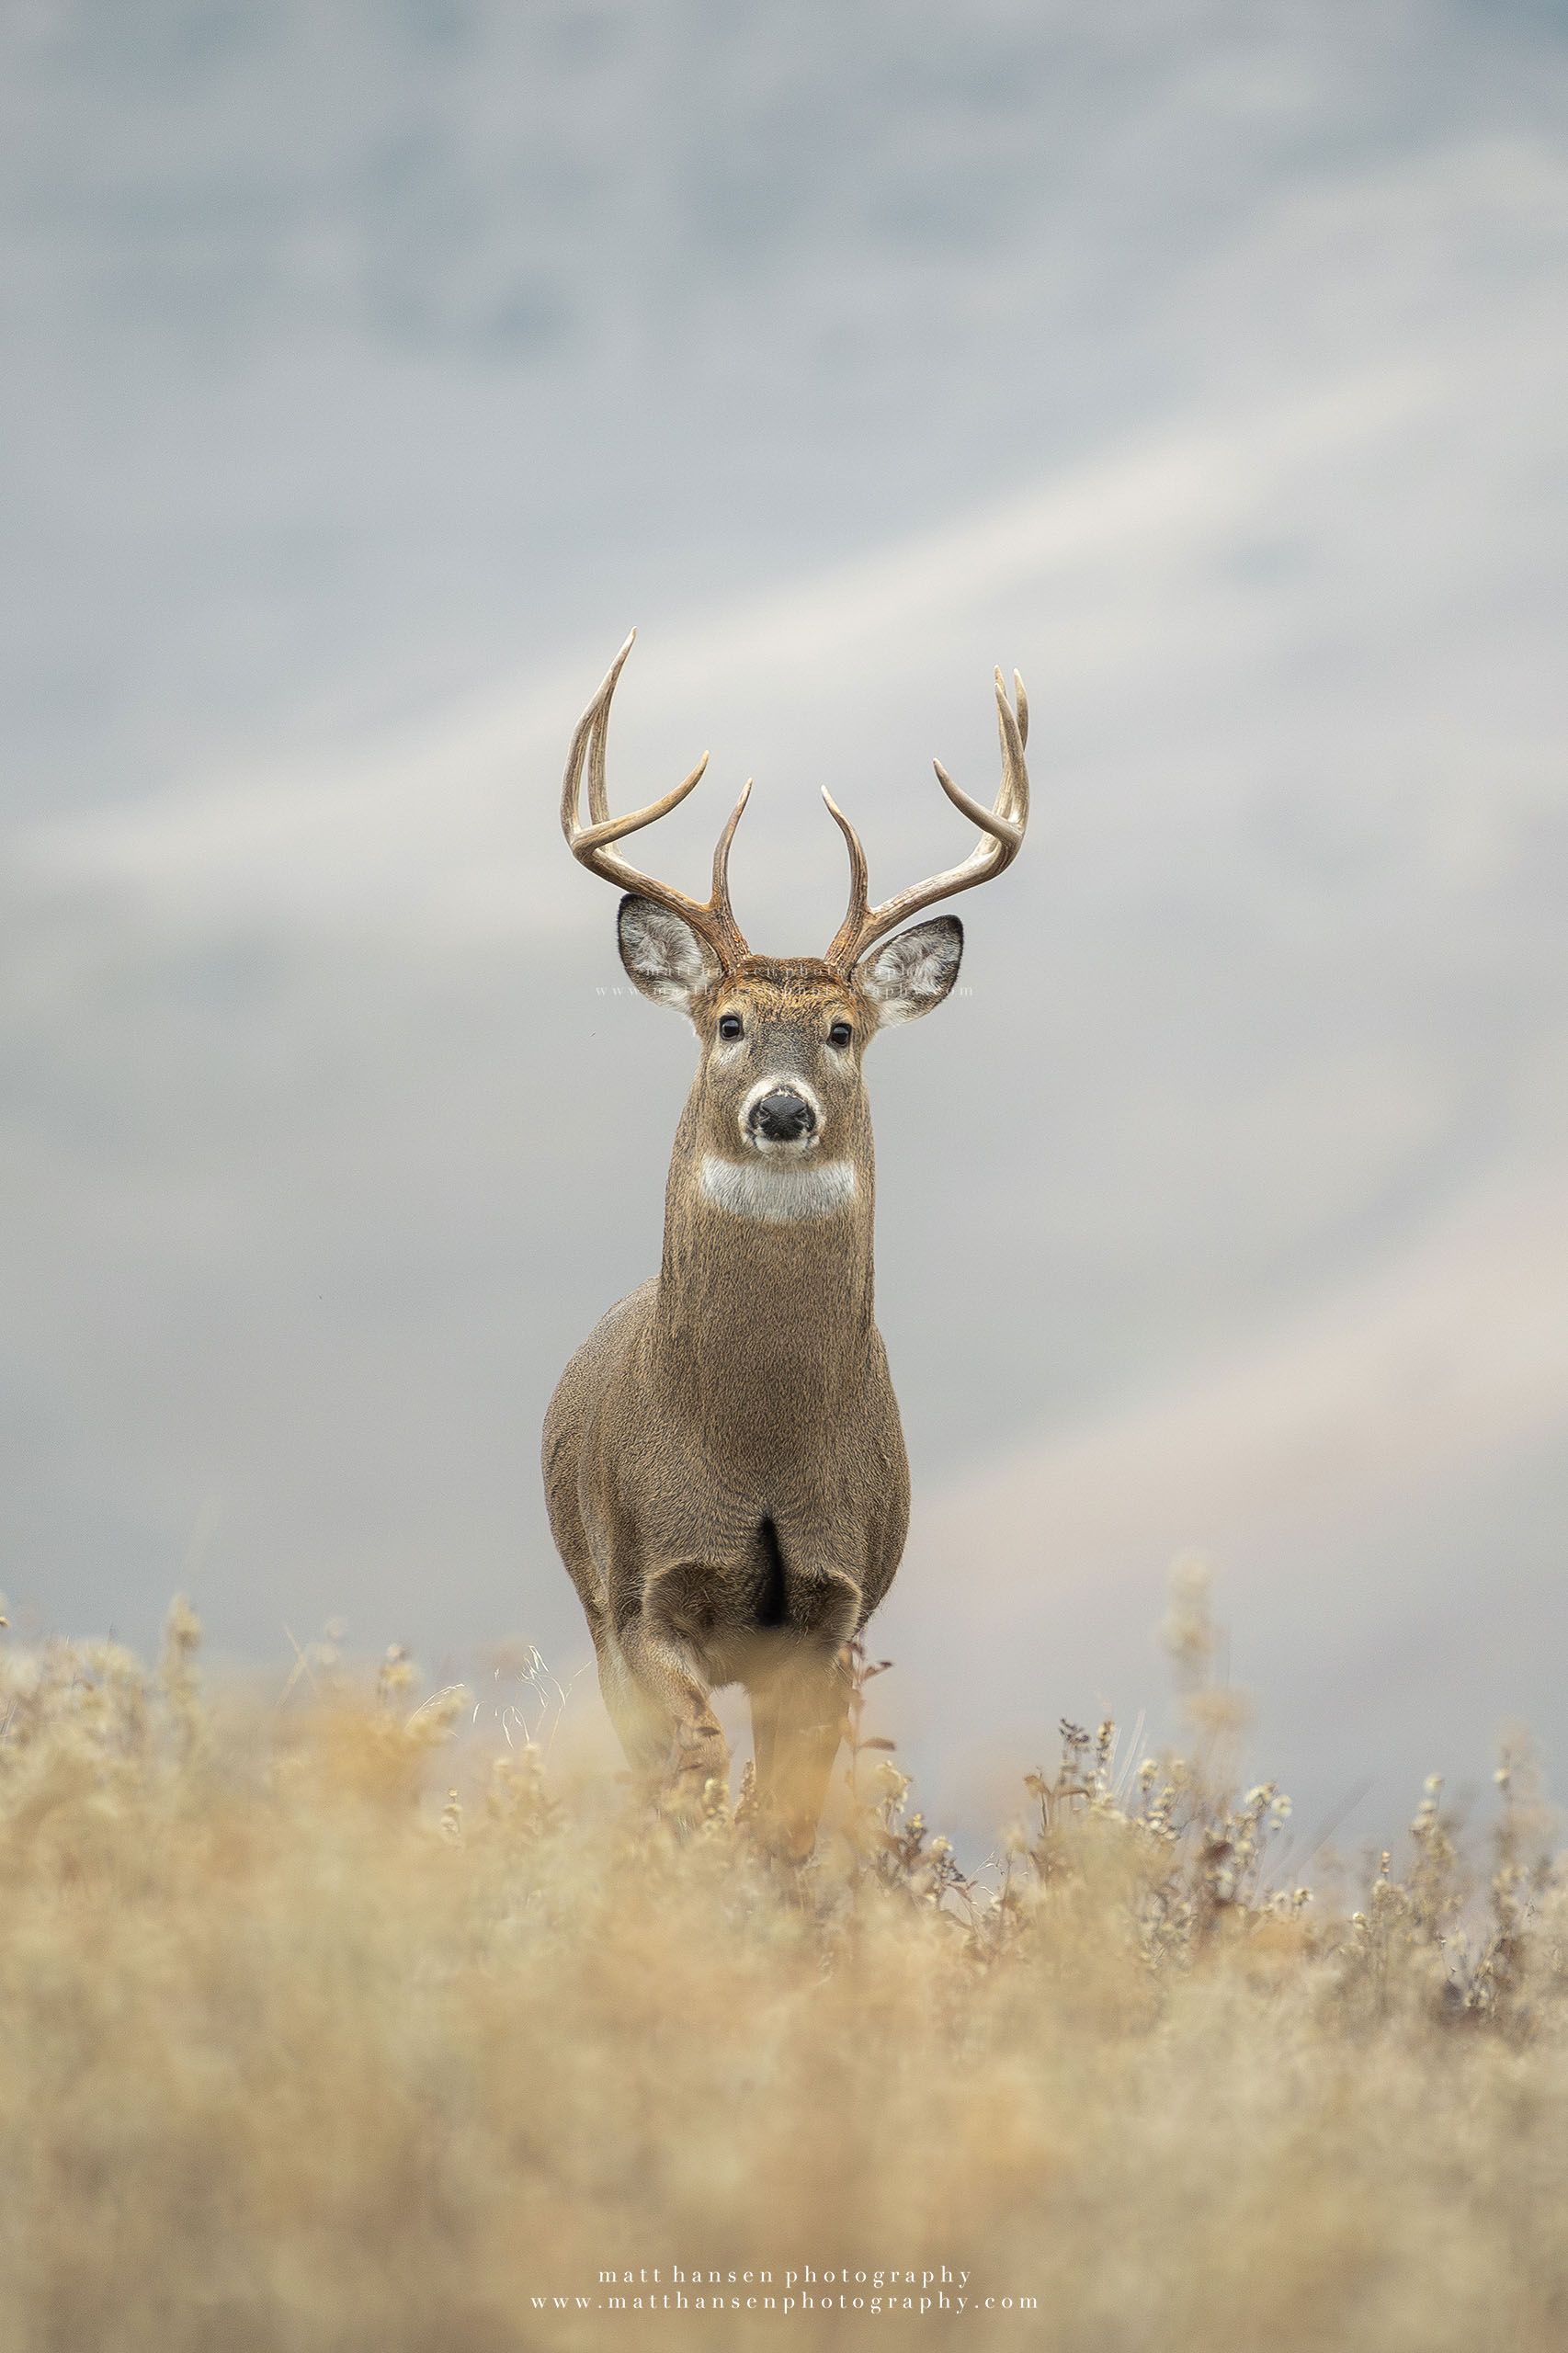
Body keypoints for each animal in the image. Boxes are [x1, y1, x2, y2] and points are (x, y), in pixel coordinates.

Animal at [542, 634, 1029, 1859]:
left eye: (842, 1030)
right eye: (727, 1023)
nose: (778, 1108)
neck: (755, 1441)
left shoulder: (833, 1603)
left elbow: (793, 1809)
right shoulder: (644, 1586)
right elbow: (696, 1770)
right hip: (587, 1593)